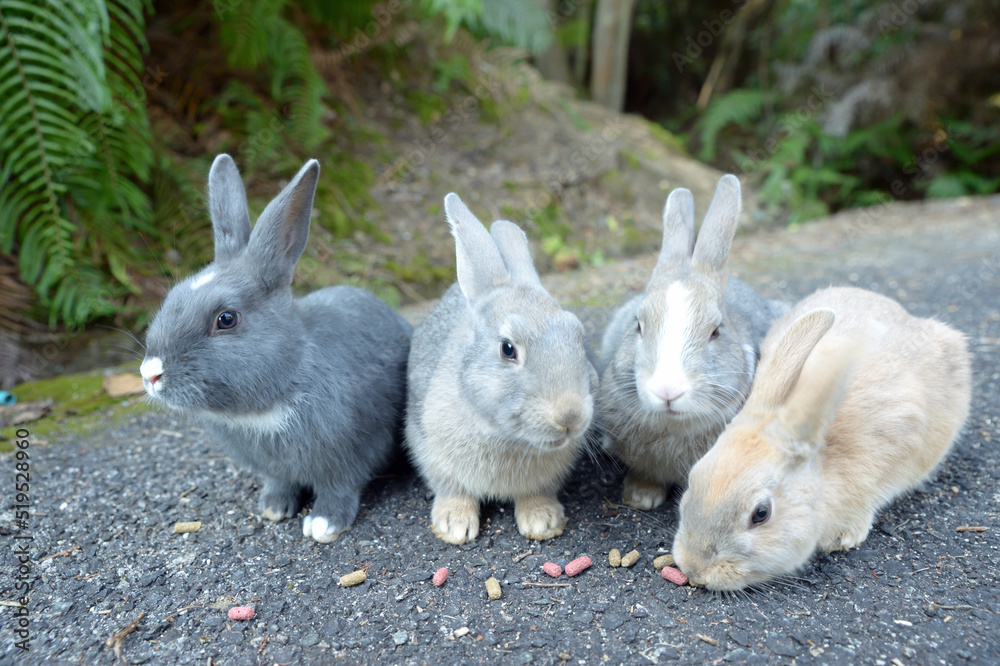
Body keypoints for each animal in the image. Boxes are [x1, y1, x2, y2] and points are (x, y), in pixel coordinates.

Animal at [139, 154, 412, 543]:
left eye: (226, 318)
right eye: (172, 297)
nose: (150, 374)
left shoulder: (352, 455)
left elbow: (339, 488)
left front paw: (323, 524)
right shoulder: (275, 468)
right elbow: (279, 482)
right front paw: (273, 508)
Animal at [405, 193, 599, 545]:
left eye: (579, 336)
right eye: (508, 349)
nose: (570, 416)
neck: (508, 438)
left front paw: (542, 522)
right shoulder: (429, 449)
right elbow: (451, 489)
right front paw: (454, 525)